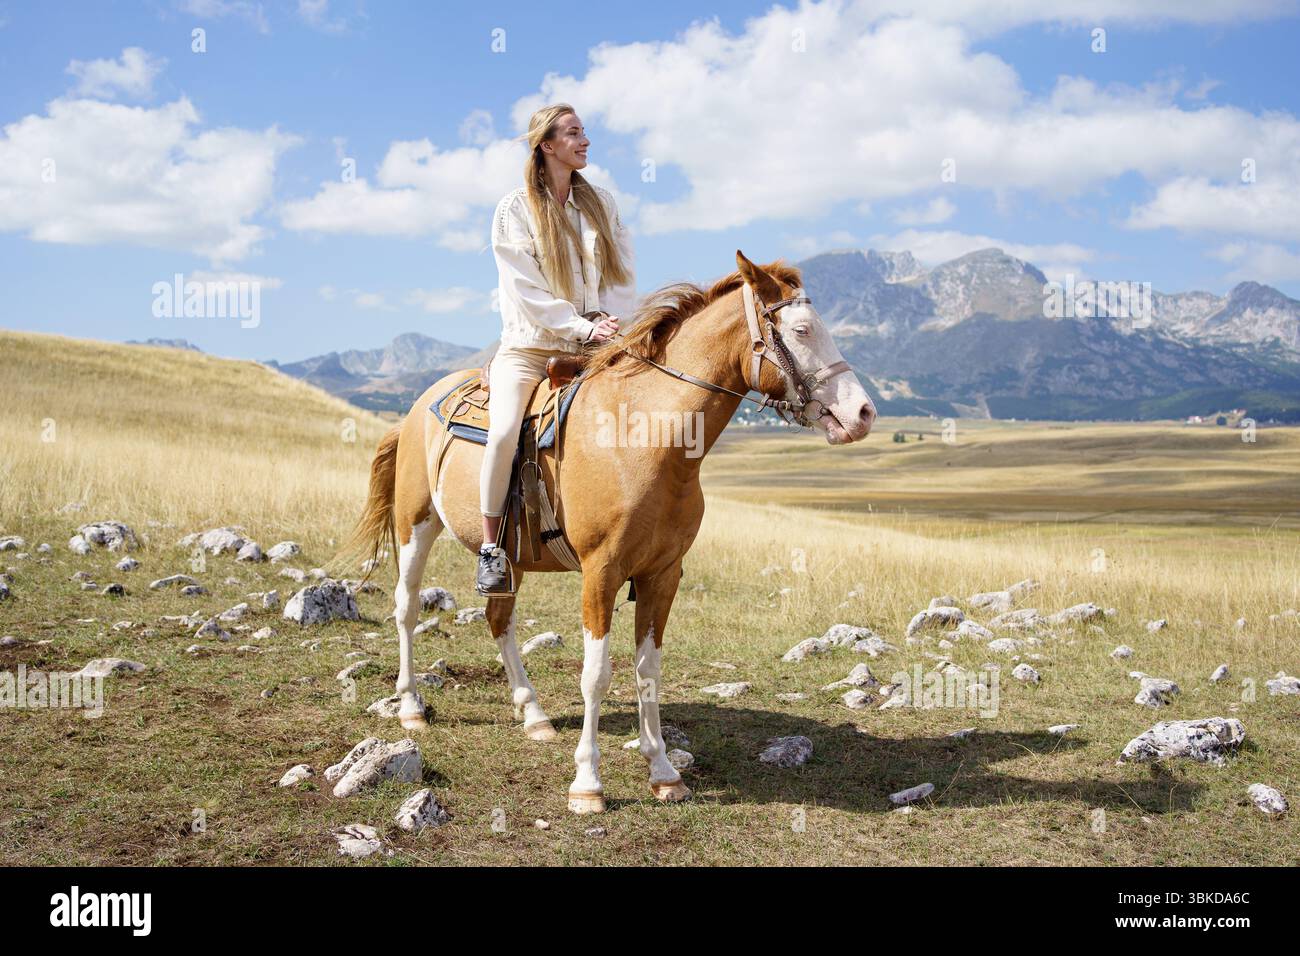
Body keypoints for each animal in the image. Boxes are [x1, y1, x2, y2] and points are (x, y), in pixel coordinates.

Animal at [343, 251, 876, 814]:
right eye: (801, 330)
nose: (863, 413)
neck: (646, 438)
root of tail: (417, 407)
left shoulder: (664, 574)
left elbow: (648, 670)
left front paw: (663, 772)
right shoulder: (600, 572)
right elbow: (596, 675)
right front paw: (587, 783)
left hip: (509, 558)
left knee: (498, 619)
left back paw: (533, 715)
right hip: (415, 525)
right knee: (406, 608)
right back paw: (411, 707)